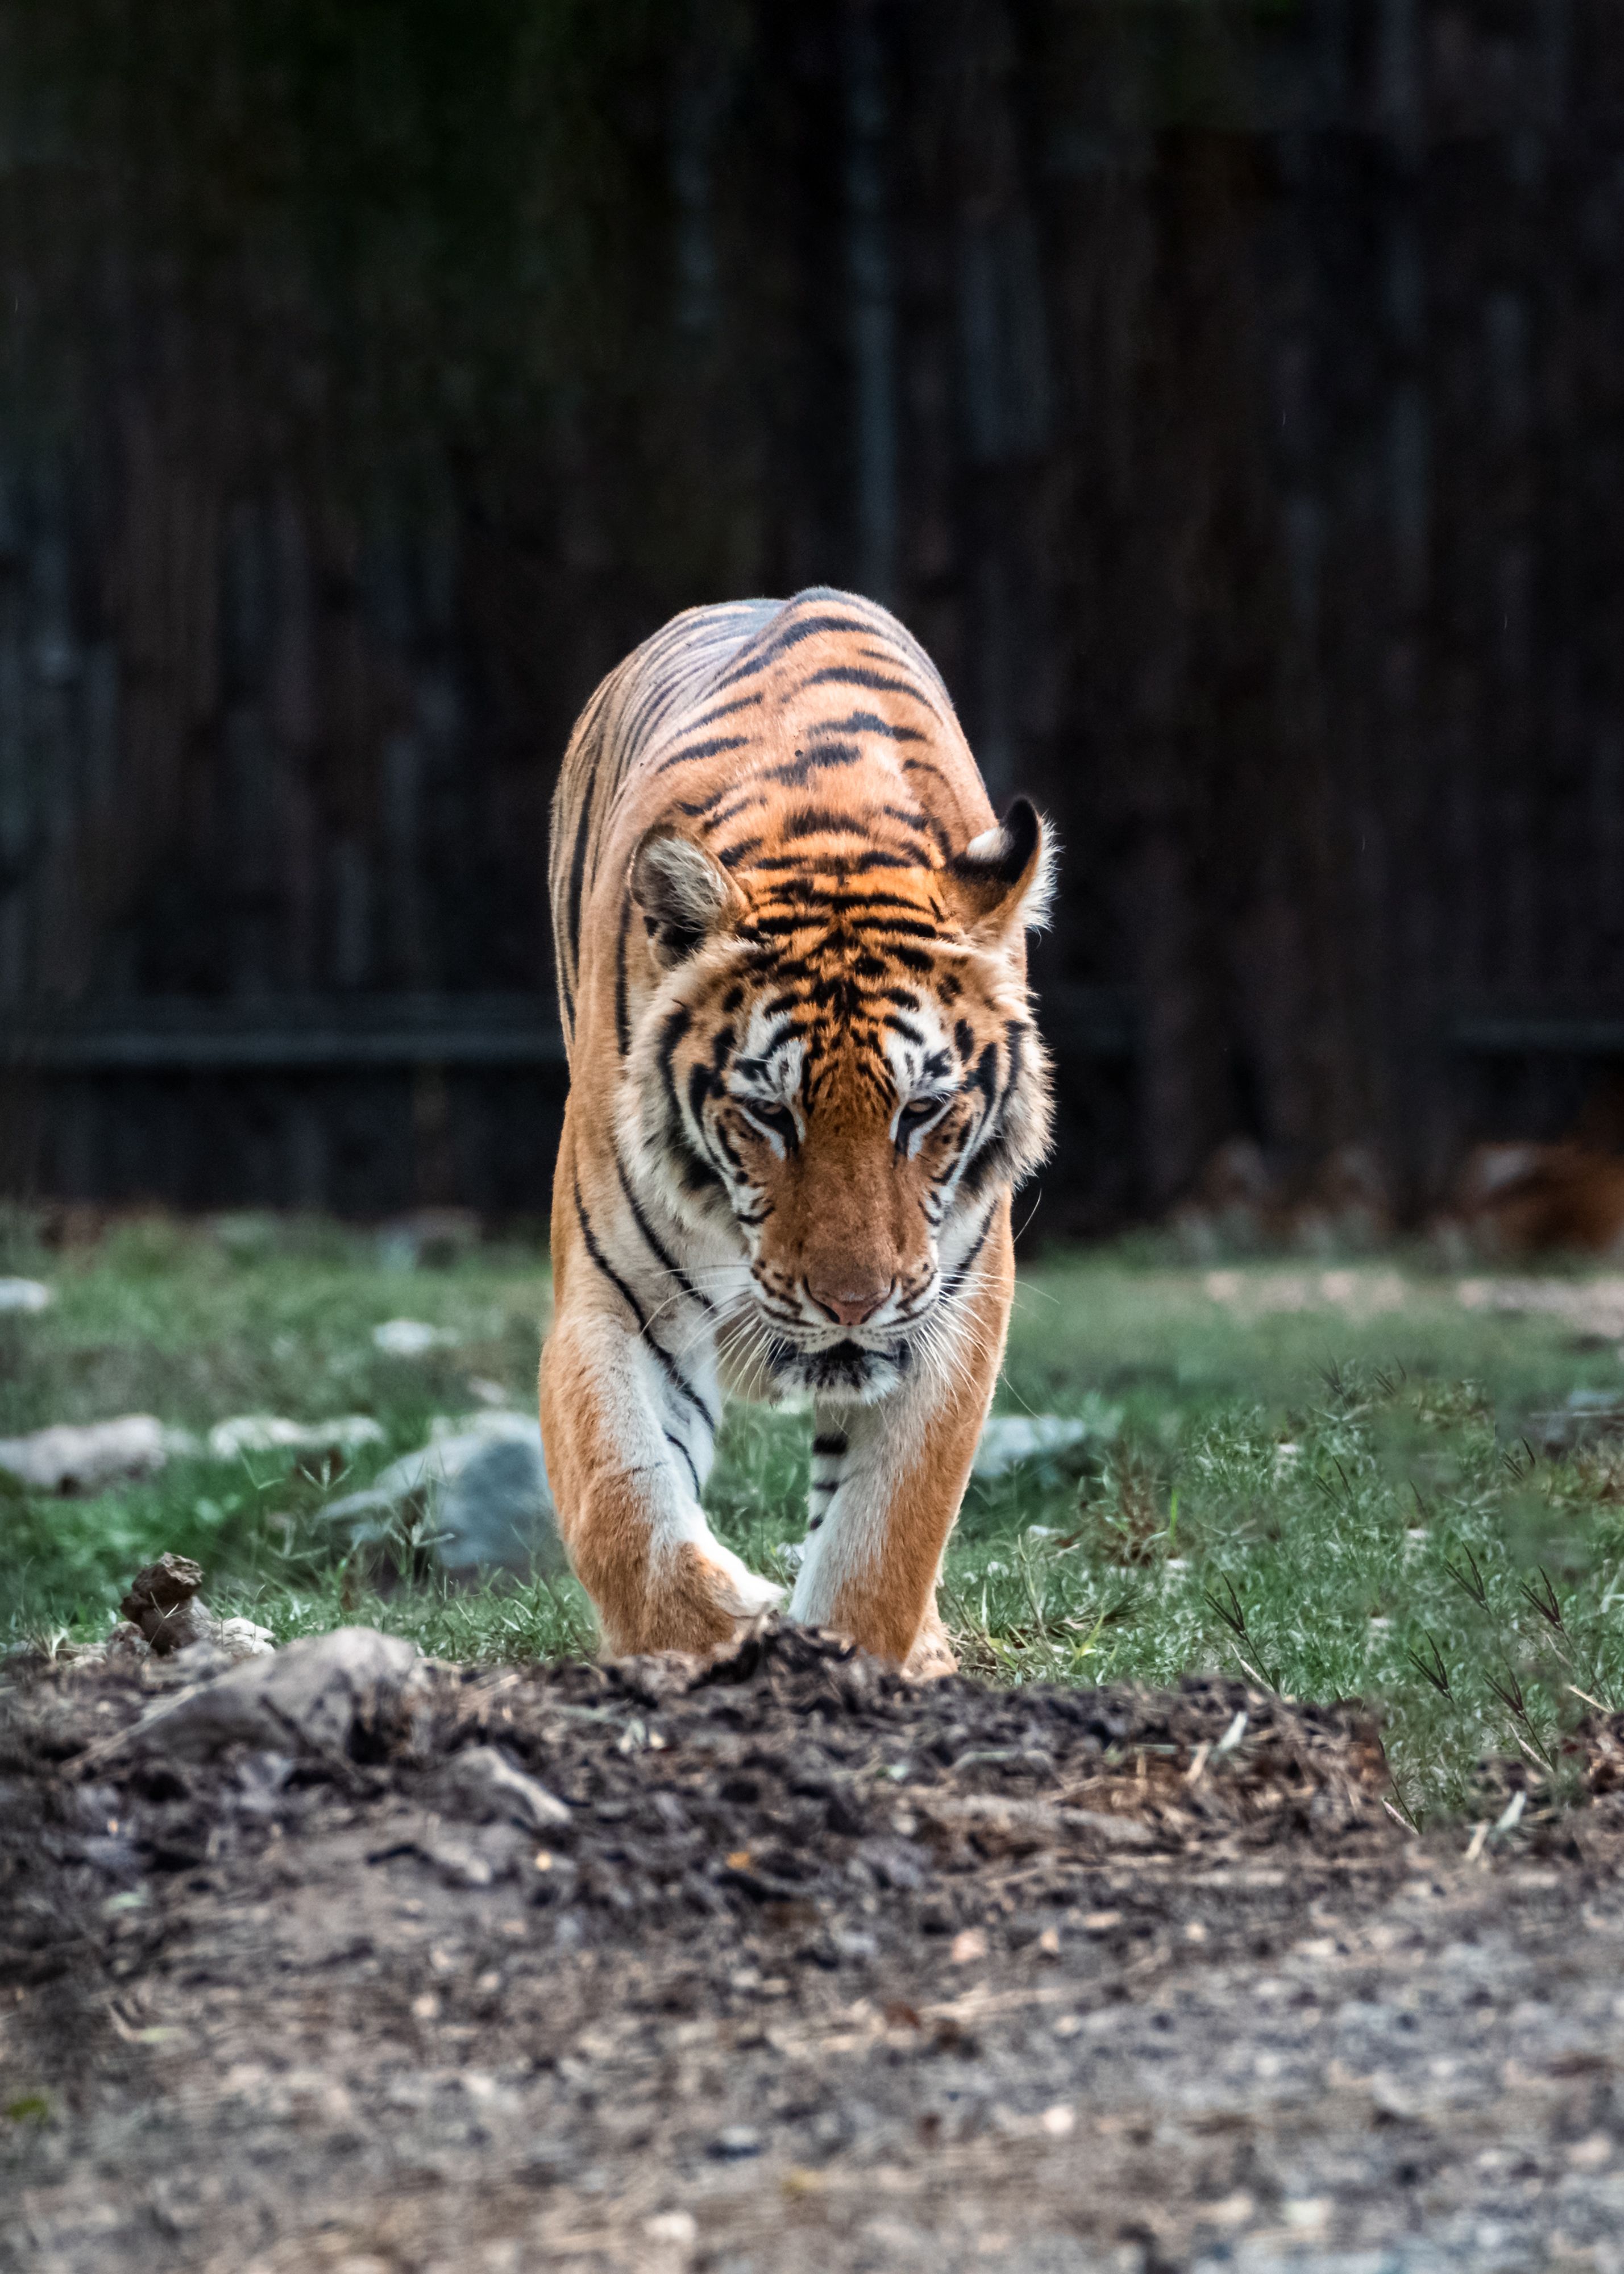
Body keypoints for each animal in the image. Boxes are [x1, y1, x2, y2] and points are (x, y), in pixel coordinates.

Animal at [540, 587, 1053, 1673]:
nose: (852, 1306)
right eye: (769, 1114)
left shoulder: (955, 1301)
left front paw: (849, 1657)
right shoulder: (612, 1297)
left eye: (921, 1110)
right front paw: (714, 1634)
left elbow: (887, 1537)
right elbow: (621, 1508)